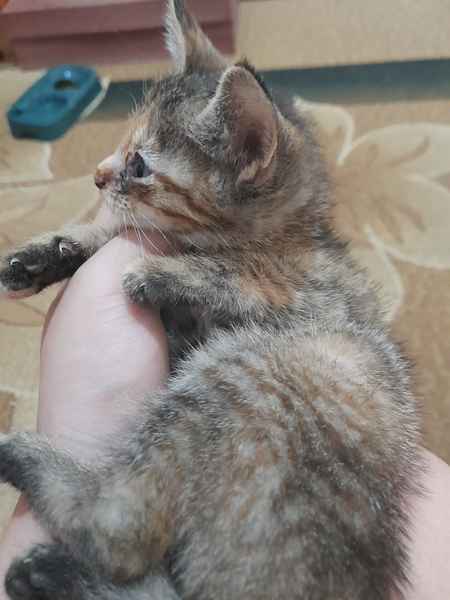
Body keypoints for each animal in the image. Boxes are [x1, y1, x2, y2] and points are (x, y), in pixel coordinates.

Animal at [0, 1, 421, 598]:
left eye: (140, 165)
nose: (97, 175)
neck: (287, 234)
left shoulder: (328, 295)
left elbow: (245, 276)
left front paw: (160, 271)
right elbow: (112, 238)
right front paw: (48, 253)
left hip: (258, 371)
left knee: (119, 528)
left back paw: (21, 473)